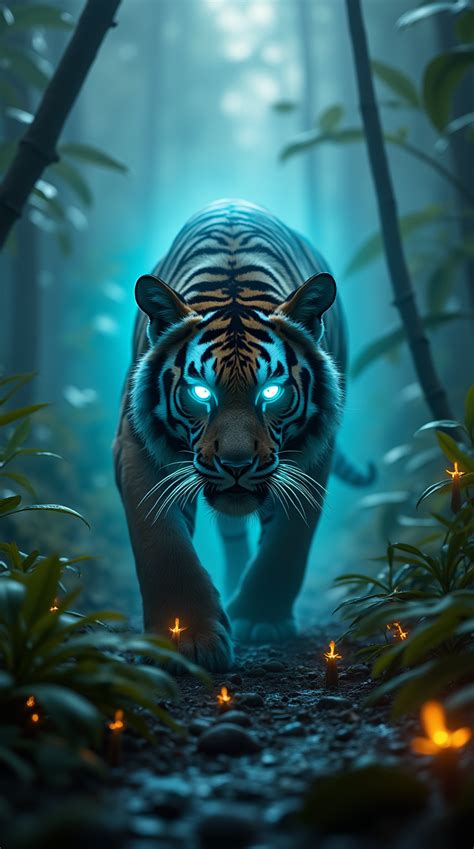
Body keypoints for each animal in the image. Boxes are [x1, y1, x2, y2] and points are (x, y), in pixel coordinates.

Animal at [114, 199, 374, 671]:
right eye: (201, 392)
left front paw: (260, 618)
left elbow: (289, 541)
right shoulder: (136, 445)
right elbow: (161, 543)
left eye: (271, 392)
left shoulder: (314, 456)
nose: (236, 464)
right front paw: (186, 640)